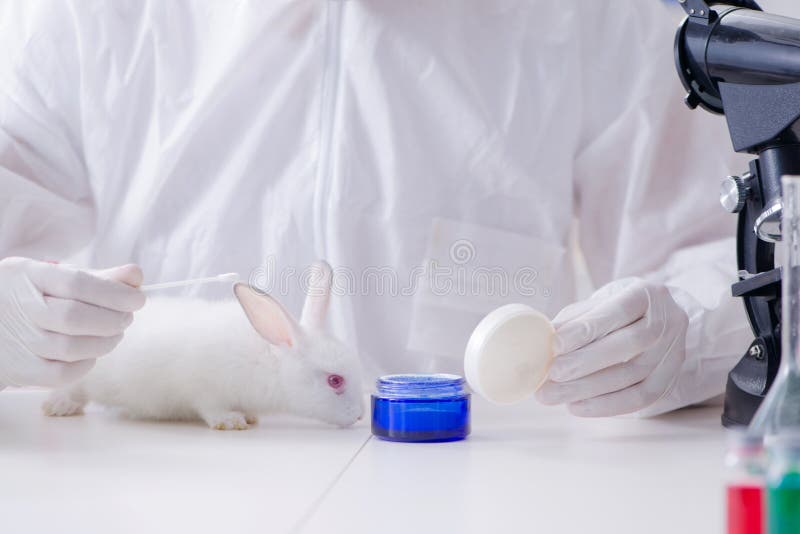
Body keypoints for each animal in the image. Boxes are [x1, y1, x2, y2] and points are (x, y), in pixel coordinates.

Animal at [42, 261, 365, 430]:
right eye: (335, 381)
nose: (360, 415)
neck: (270, 364)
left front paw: (250, 416)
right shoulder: (205, 387)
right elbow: (210, 407)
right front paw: (232, 422)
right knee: (74, 388)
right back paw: (59, 406)